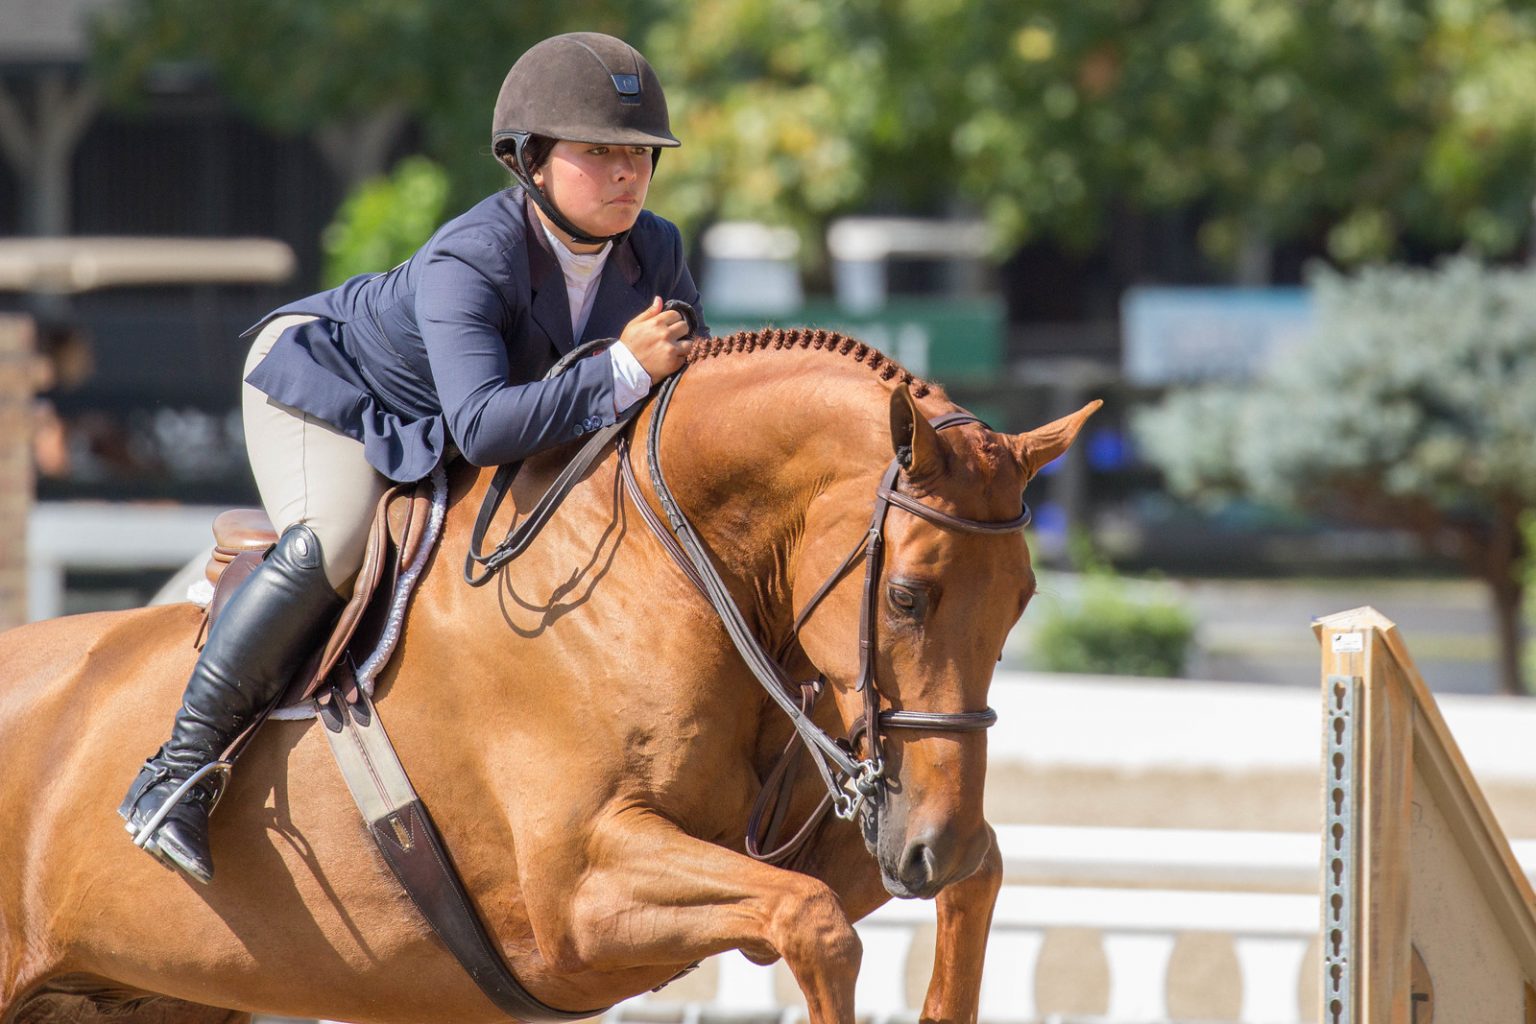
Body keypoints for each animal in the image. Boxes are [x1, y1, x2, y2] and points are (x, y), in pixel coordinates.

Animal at [0, 327, 1097, 1024]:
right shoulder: (580, 900)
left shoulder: (792, 848)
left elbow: (977, 873)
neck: (671, 572)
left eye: (1023, 602)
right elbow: (815, 926)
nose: (925, 845)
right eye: (908, 596)